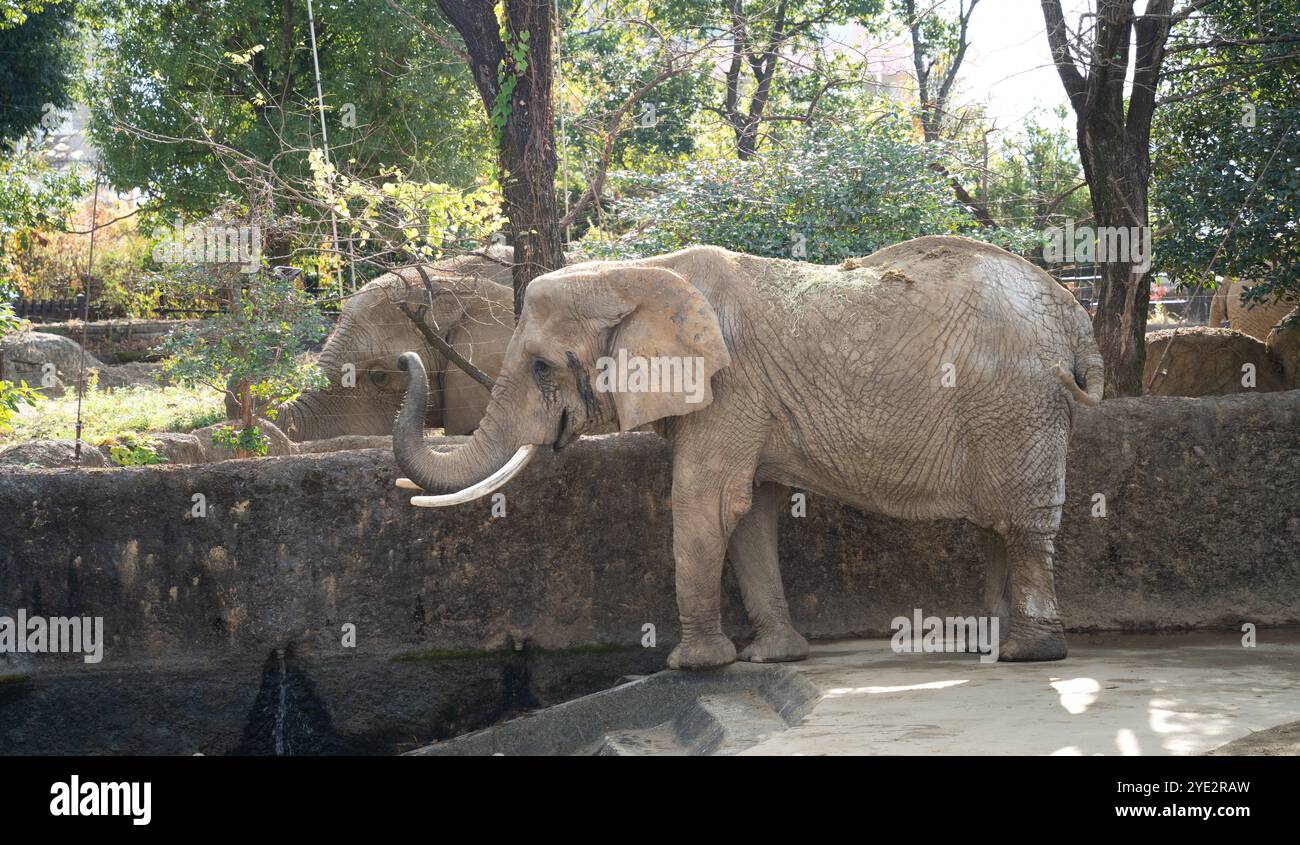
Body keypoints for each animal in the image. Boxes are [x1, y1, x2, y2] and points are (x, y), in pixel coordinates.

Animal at [390, 236, 1104, 669]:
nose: (404, 358)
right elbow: (751, 511)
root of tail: (1075, 315)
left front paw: (692, 666)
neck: (642, 272)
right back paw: (989, 647)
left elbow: (705, 505)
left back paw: (1028, 655)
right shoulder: (744, 400)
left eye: (541, 366)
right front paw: (774, 658)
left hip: (1017, 400)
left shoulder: (731, 387)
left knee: (1024, 521)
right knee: (996, 523)